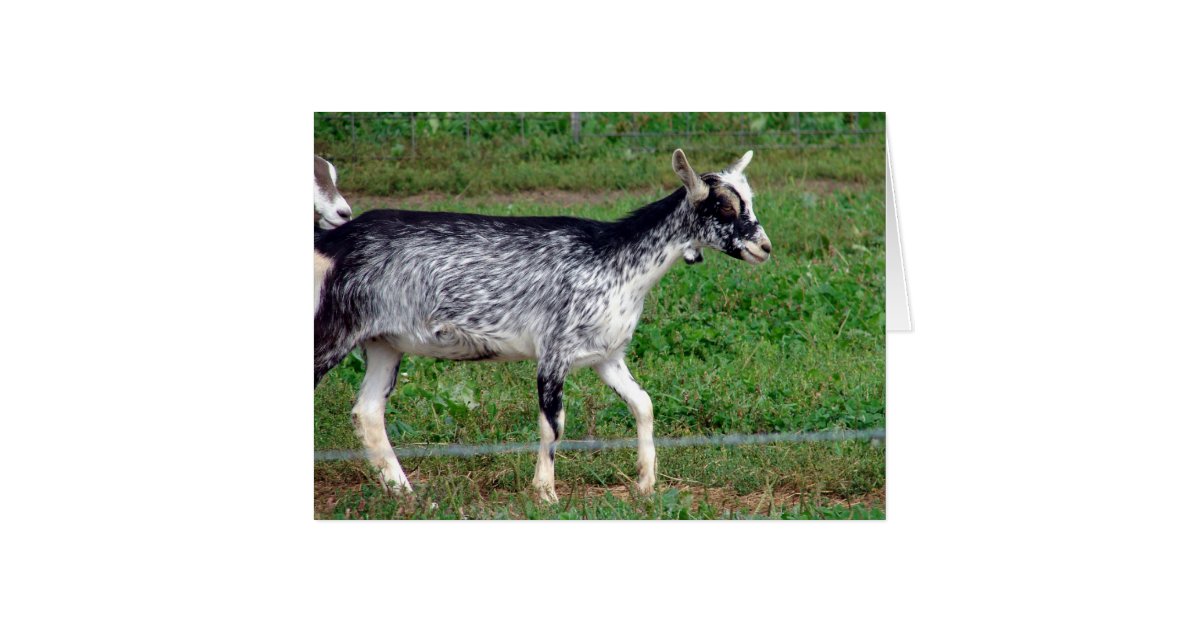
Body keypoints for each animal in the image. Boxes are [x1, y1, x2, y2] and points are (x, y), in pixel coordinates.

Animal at [313, 149, 772, 501]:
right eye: (725, 206)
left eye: (749, 201)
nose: (764, 247)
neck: (615, 260)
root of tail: (334, 244)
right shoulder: (554, 351)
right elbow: (554, 424)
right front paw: (546, 493)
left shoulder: (606, 356)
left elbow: (643, 403)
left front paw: (646, 482)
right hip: (333, 328)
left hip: (384, 343)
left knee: (368, 412)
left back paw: (405, 493)